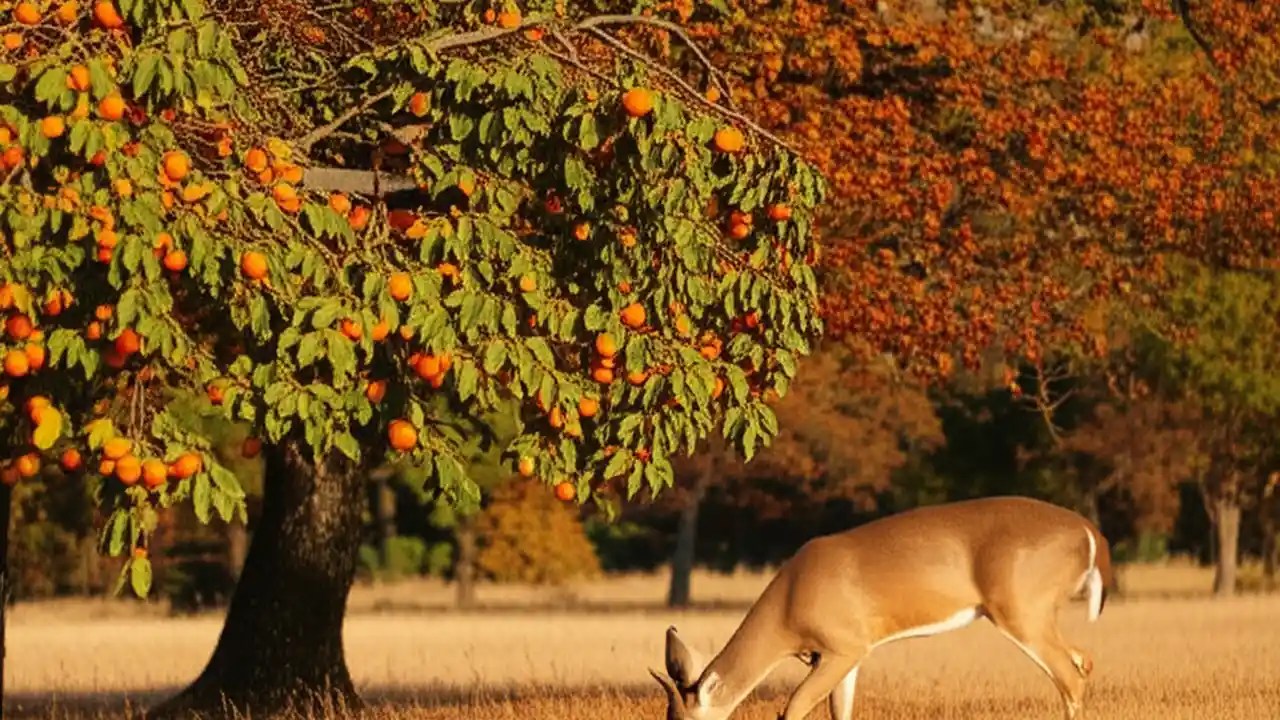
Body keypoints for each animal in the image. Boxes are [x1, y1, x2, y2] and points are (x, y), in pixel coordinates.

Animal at [650, 496, 1113, 720]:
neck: (790, 602)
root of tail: (1091, 533)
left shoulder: (843, 648)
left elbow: (793, 708)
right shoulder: (844, 656)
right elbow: (841, 713)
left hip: (1020, 610)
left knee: (1070, 677)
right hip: (1039, 614)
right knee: (1084, 661)